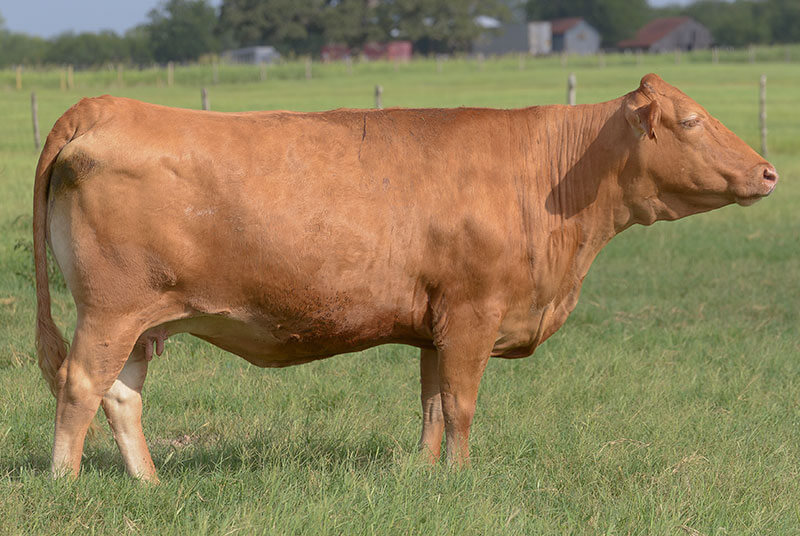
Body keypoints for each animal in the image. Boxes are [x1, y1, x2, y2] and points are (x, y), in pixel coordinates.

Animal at [33, 74, 777, 482]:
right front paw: (463, 478)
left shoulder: (435, 326)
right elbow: (463, 404)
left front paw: (426, 474)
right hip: (111, 310)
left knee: (121, 395)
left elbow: (432, 405)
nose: (770, 172)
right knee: (80, 384)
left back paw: (150, 484)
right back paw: (65, 483)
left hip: (140, 323)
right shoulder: (474, 314)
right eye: (691, 120)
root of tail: (106, 105)